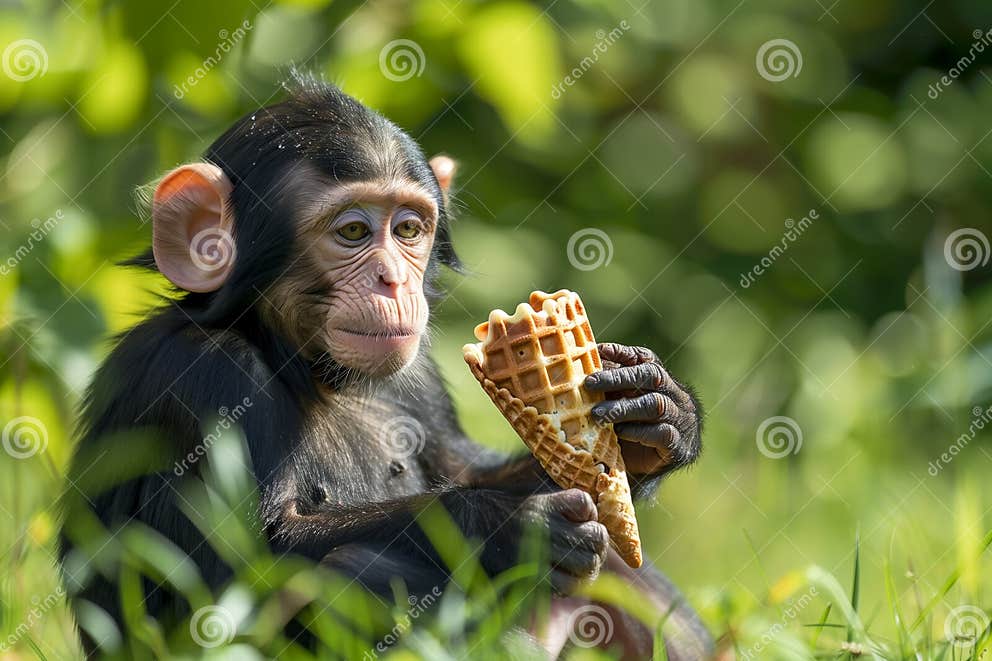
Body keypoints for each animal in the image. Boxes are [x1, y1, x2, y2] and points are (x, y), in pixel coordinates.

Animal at [59, 75, 712, 659]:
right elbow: (250, 555)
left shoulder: (422, 379)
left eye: (408, 229)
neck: (305, 365)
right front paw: (511, 525)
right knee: (351, 569)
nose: (394, 277)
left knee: (628, 575)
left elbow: (467, 466)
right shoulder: (203, 373)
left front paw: (659, 417)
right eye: (352, 230)